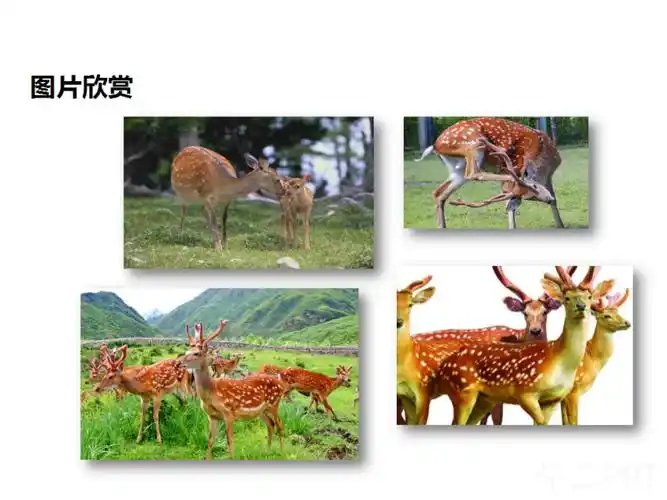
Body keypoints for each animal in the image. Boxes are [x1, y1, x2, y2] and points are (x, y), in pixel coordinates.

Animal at [178, 321, 292, 460]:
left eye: (196, 353)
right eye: (186, 351)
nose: (179, 362)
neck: (211, 393)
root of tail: (281, 384)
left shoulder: (229, 413)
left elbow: (229, 440)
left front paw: (232, 457)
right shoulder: (212, 416)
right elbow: (210, 440)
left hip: (274, 404)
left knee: (280, 424)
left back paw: (281, 451)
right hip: (262, 410)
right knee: (270, 424)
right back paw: (267, 451)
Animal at [414, 117, 563, 229]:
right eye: (531, 193)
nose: (548, 199)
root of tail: (435, 146)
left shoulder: (549, 177)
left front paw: (560, 225)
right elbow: (510, 206)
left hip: (457, 169)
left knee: (439, 193)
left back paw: (442, 225)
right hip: (473, 143)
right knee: (473, 173)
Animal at [561, 287, 632, 425]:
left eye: (617, 311)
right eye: (606, 315)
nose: (627, 323)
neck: (592, 359)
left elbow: (564, 421)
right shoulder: (573, 390)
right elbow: (573, 421)